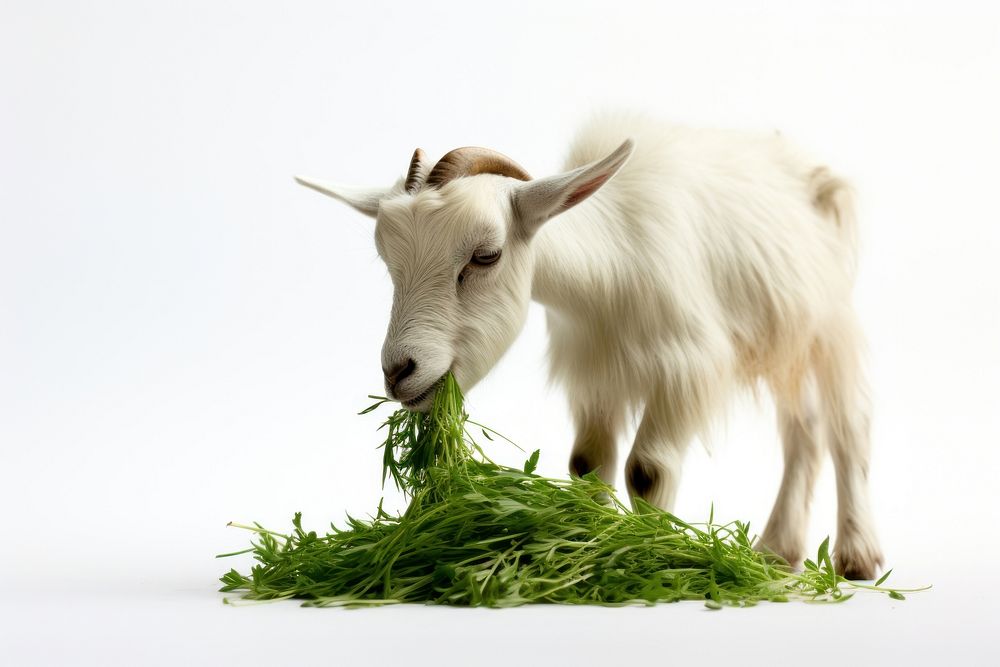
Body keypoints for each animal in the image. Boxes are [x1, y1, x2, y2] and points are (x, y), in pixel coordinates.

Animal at [296, 113, 883, 579]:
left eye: (485, 256)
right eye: (388, 263)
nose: (399, 371)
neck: (609, 274)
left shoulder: (686, 367)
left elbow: (647, 470)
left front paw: (656, 554)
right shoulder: (594, 371)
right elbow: (587, 464)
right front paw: (592, 543)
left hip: (830, 322)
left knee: (847, 425)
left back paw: (858, 556)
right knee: (804, 429)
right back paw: (777, 553)